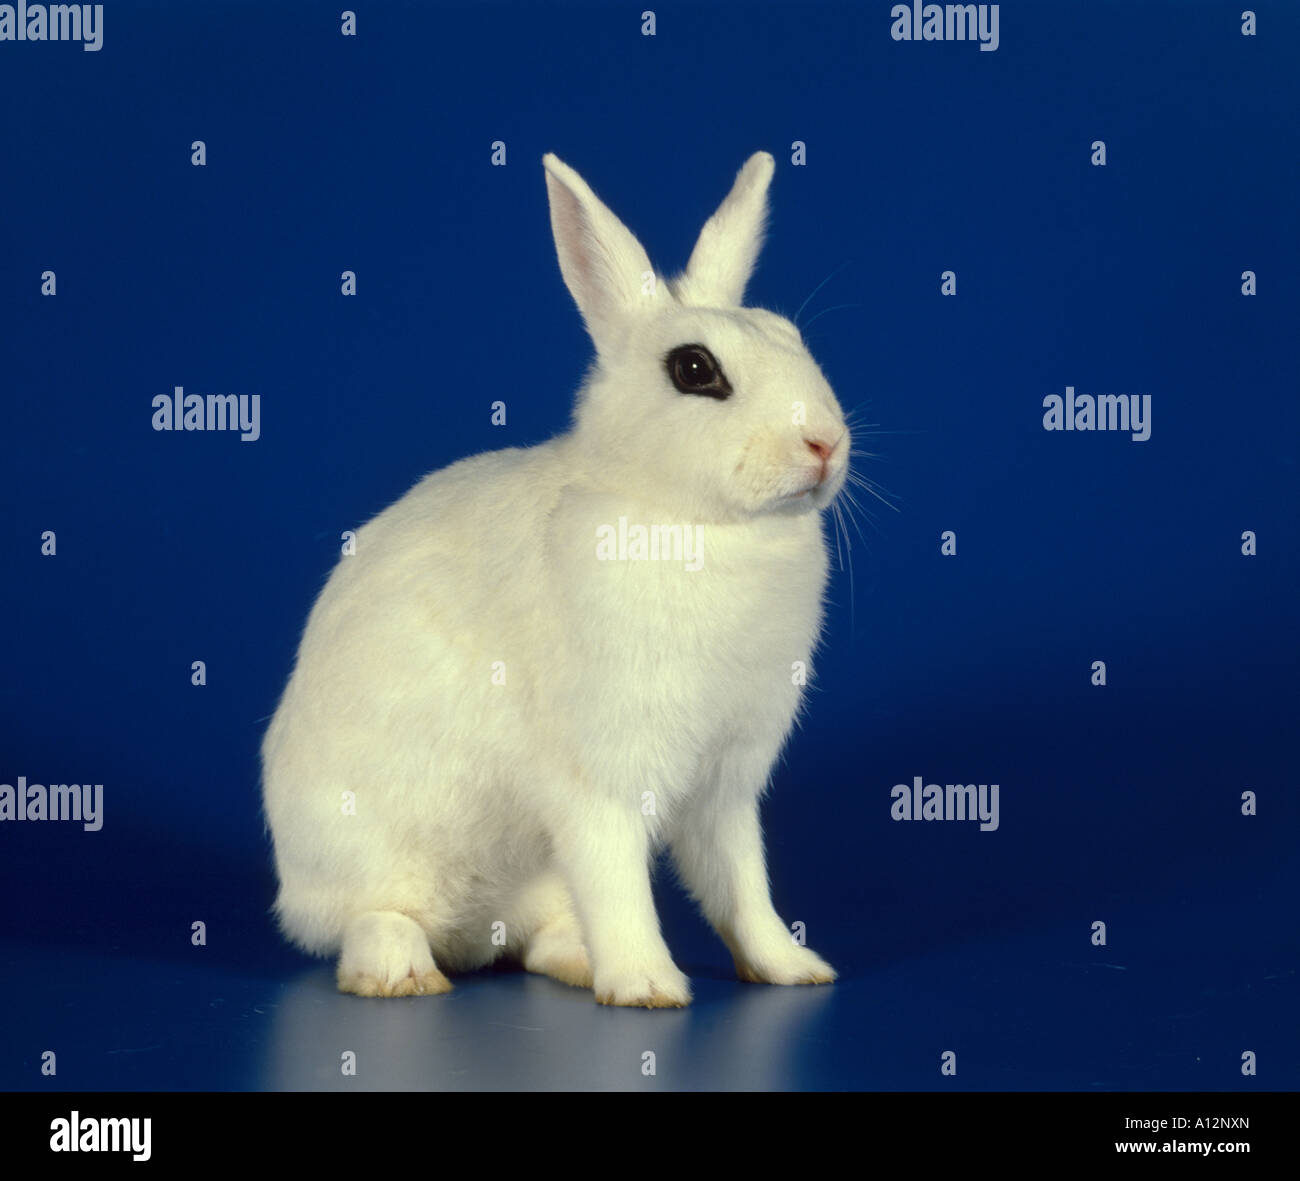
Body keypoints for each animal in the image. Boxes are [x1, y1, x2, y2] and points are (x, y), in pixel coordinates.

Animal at [261, 150, 849, 1007]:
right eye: (694, 369)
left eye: (793, 338)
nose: (826, 444)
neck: (689, 519)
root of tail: (470, 934)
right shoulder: (598, 780)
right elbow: (620, 881)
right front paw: (648, 985)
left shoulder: (726, 789)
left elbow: (742, 886)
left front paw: (794, 968)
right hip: (359, 855)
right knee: (365, 920)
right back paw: (405, 973)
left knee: (538, 938)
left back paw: (572, 959)